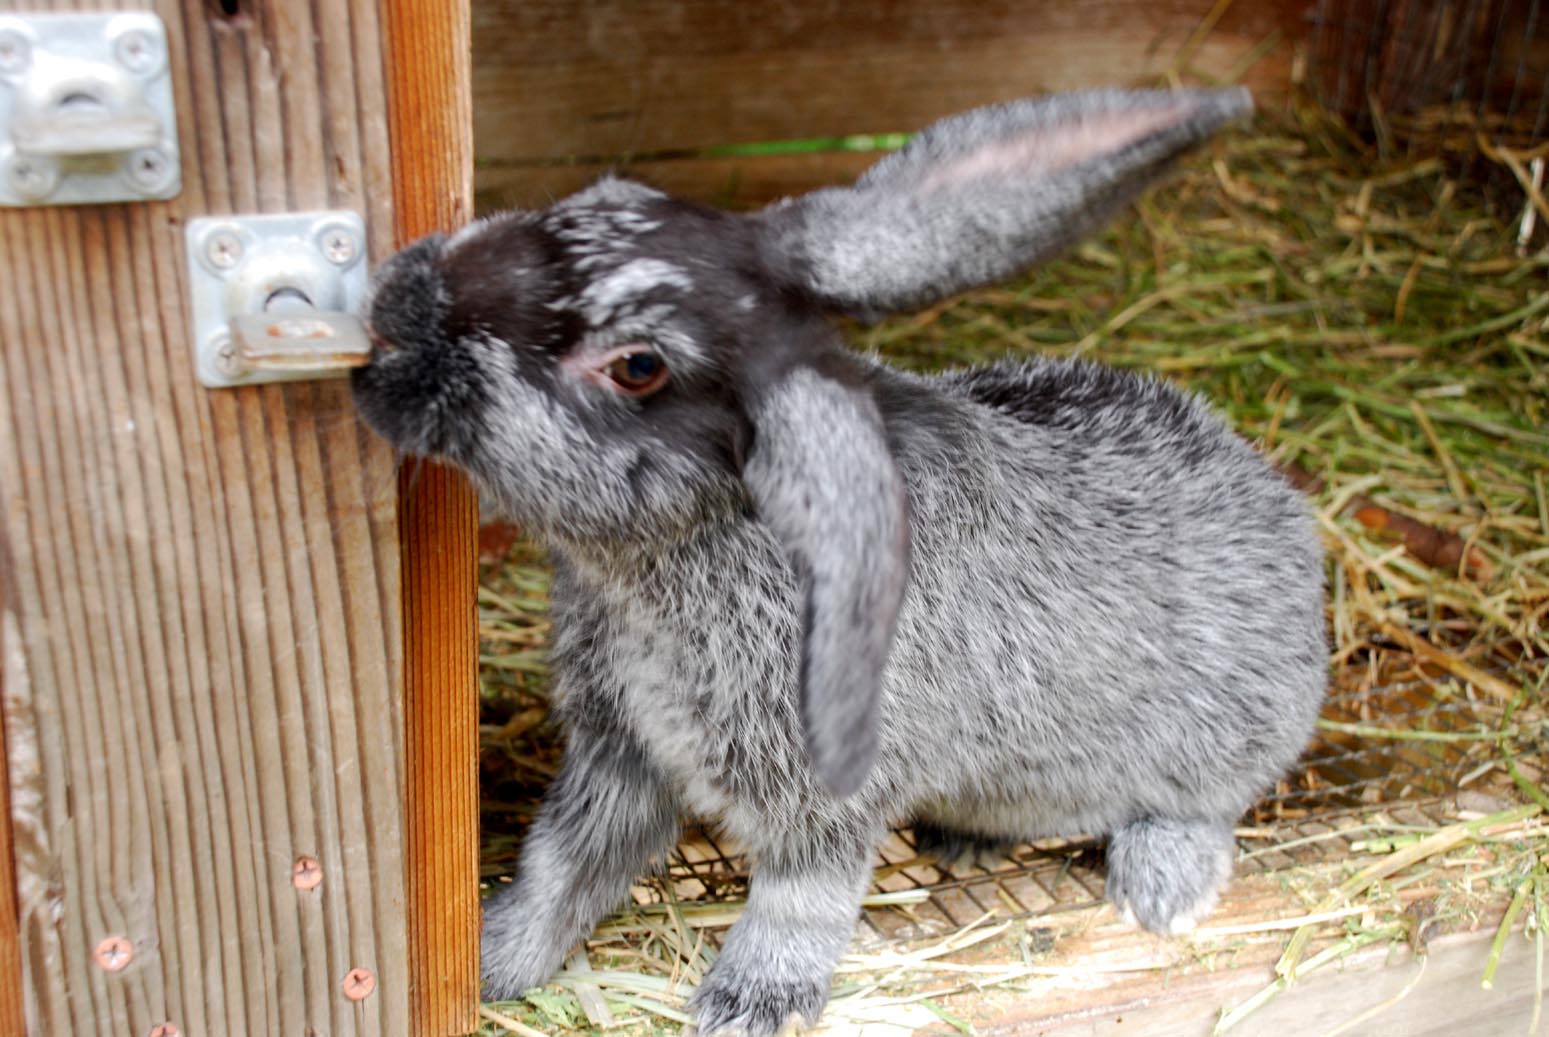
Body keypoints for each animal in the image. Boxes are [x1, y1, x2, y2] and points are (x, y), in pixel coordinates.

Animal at [352, 87, 1327, 1036]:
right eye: (596, 197)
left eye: (636, 365)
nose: (400, 301)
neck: (707, 529)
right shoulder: (618, 754)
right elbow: (561, 867)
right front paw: (491, 964)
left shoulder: (819, 793)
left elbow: (801, 899)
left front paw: (746, 1004)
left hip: (1222, 736)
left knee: (1206, 805)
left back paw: (1161, 885)